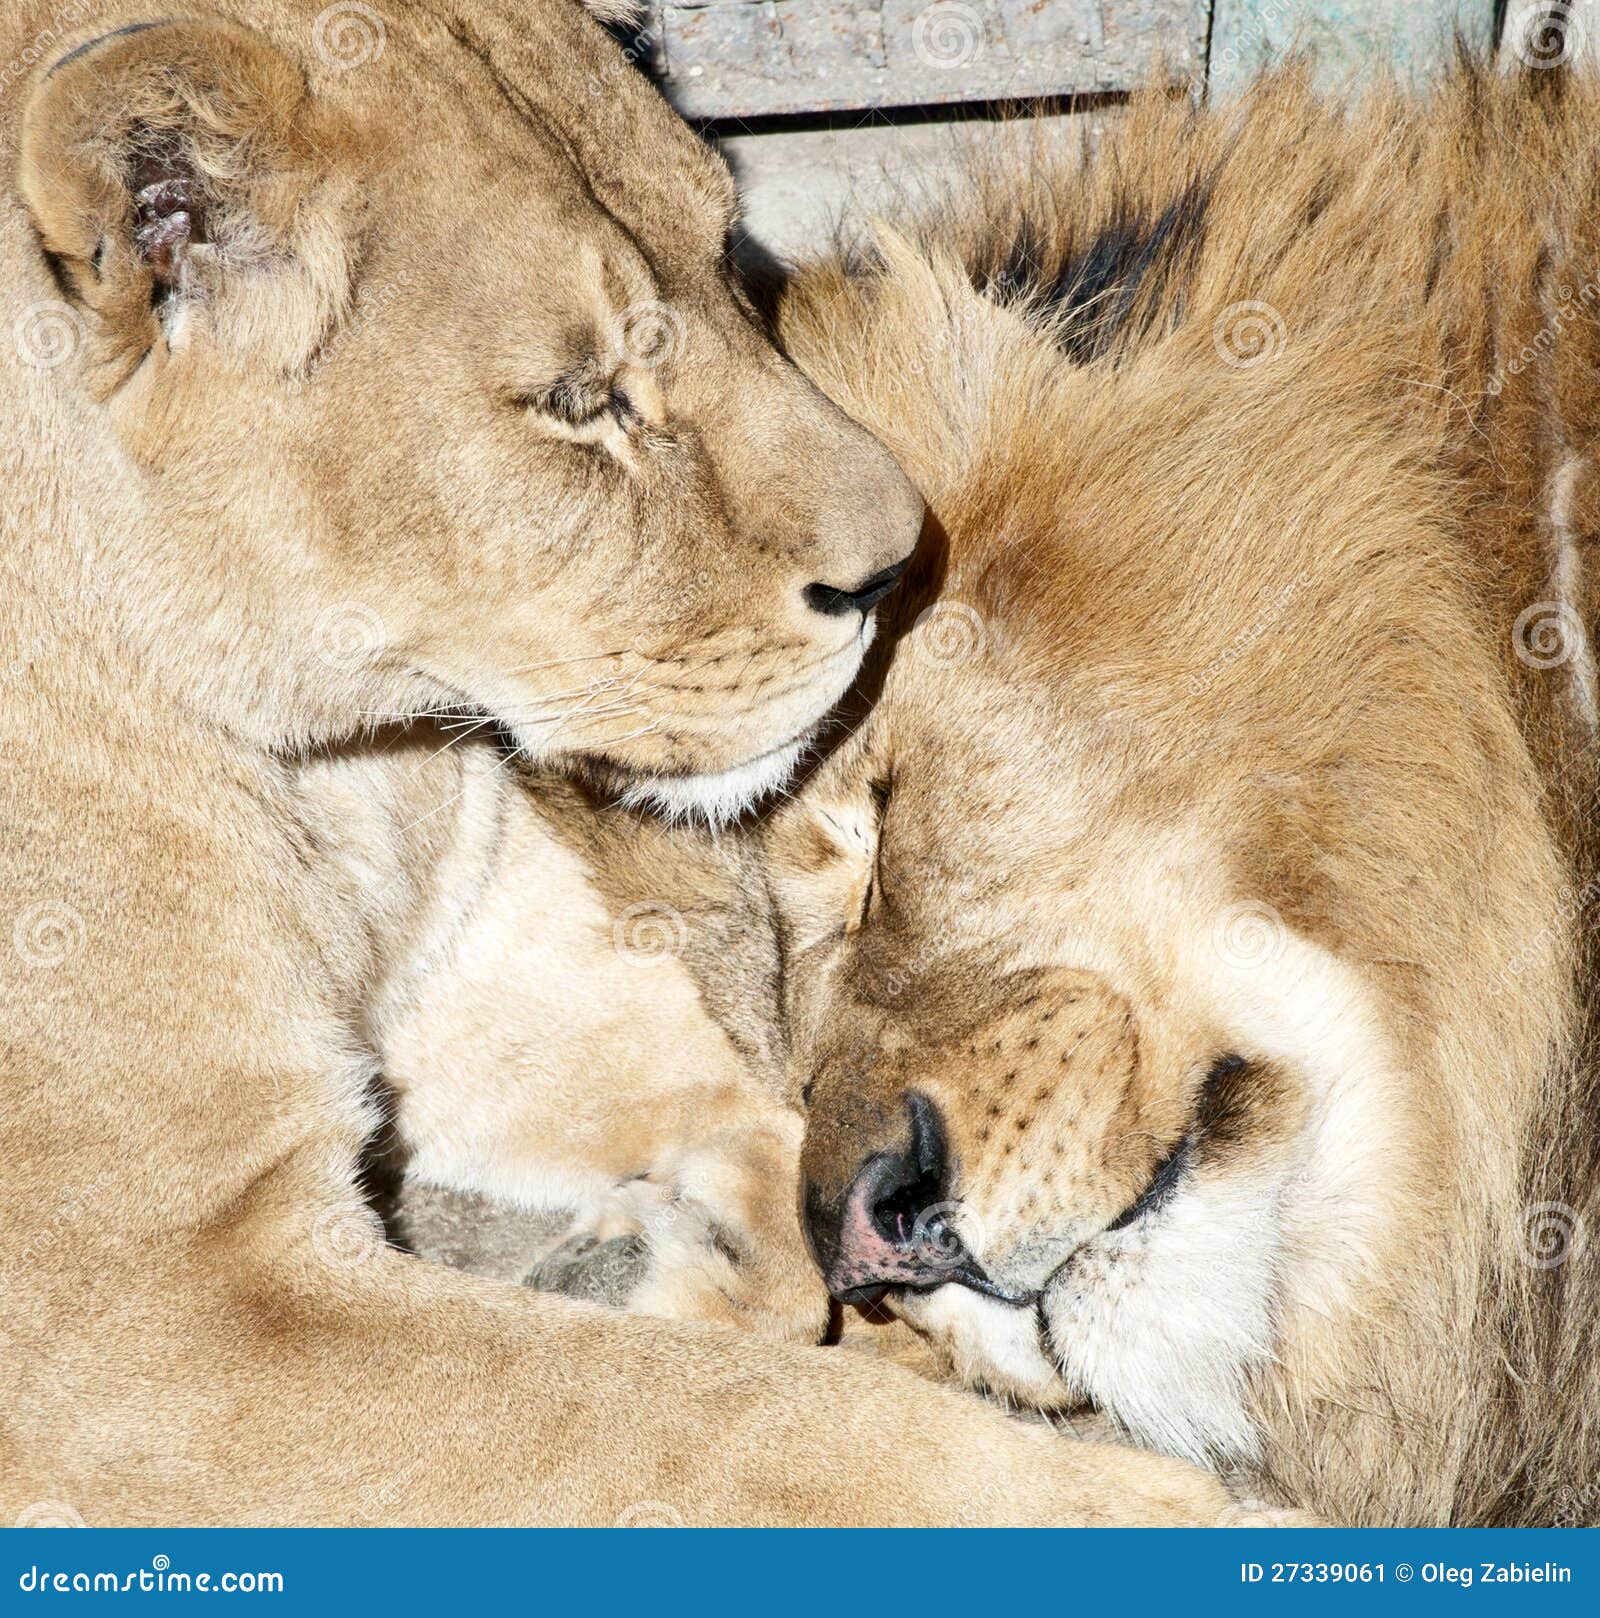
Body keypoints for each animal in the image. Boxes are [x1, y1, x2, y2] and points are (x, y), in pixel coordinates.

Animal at [0, 0, 1245, 1525]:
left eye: (728, 256)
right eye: (580, 399)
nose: (899, 567)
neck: (341, 773)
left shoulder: (473, 961)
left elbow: (751, 1125)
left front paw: (661, 1253)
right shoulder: (141, 1294)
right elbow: (710, 1423)